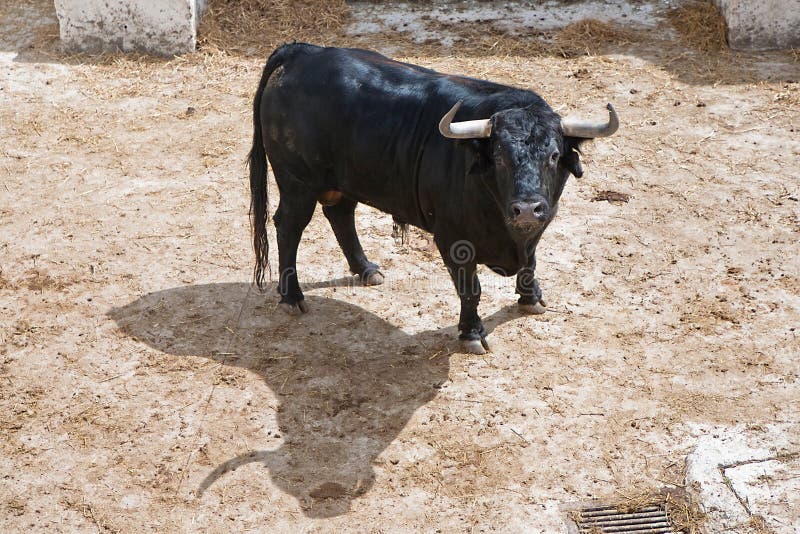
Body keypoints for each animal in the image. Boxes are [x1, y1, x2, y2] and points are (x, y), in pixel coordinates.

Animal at [248, 43, 618, 354]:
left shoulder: (536, 229)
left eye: (554, 156)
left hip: (344, 180)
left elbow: (530, 264)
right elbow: (471, 287)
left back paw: (366, 270)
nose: (527, 209)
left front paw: (532, 299)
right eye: (499, 156)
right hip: (297, 184)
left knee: (340, 214)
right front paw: (472, 333)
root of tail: (303, 51)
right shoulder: (452, 238)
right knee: (289, 227)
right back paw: (291, 297)